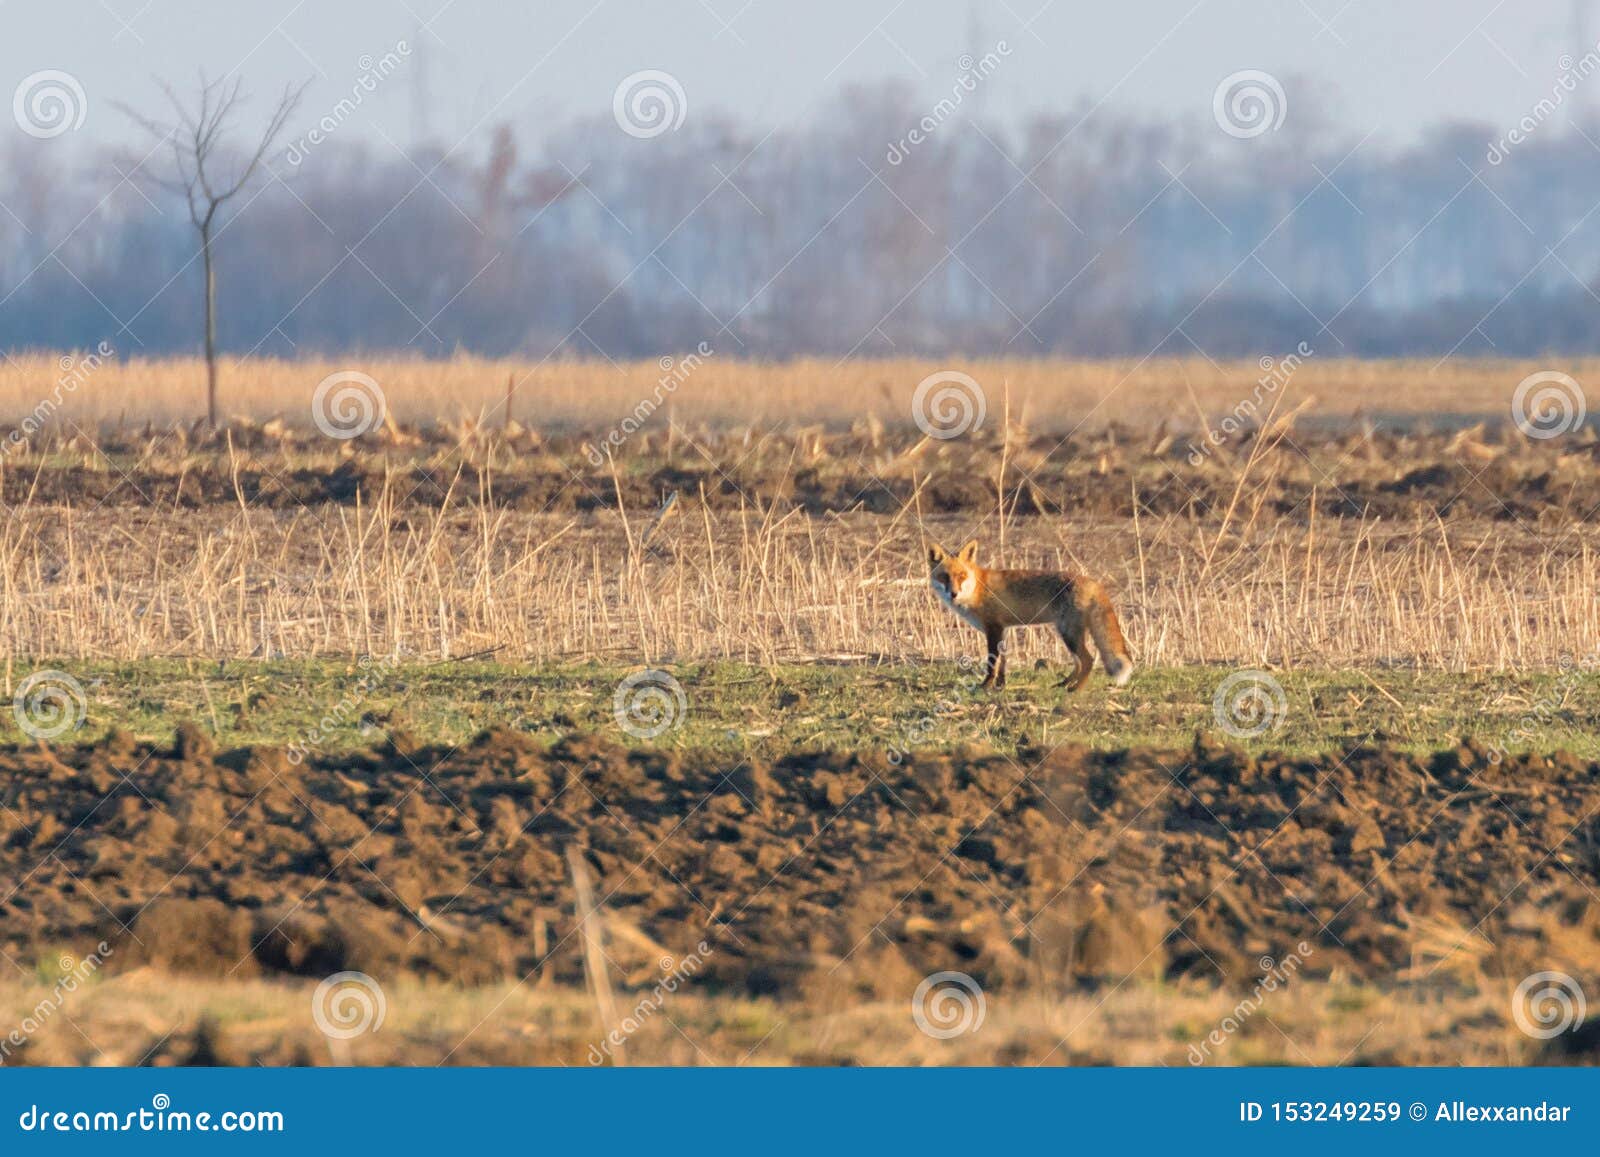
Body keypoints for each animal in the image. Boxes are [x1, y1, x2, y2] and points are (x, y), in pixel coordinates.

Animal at [927, 540, 1133, 693]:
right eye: (944, 576)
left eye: (961, 575)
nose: (953, 594)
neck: (977, 589)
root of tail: (1092, 581)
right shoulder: (1002, 629)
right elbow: (1003, 662)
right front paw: (1000, 686)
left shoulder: (993, 628)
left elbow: (993, 663)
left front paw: (985, 686)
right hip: (1066, 632)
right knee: (1079, 663)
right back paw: (1064, 684)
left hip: (1068, 633)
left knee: (1088, 661)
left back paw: (1076, 689)